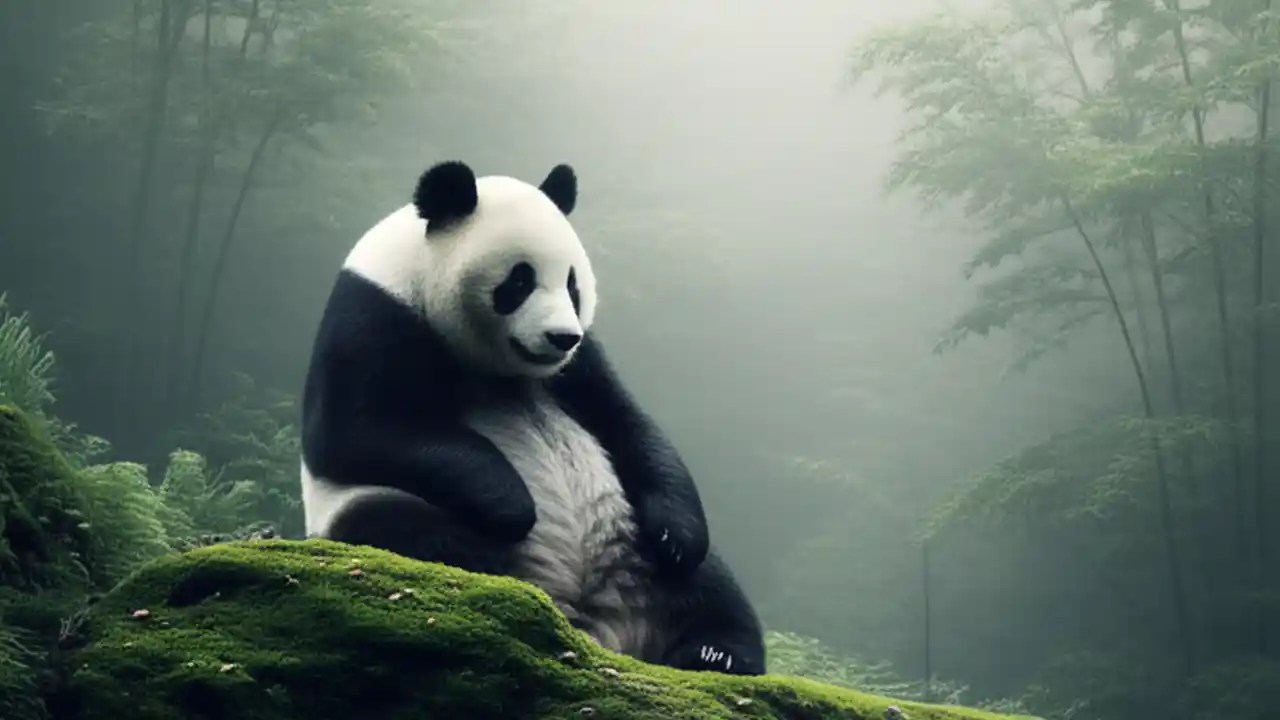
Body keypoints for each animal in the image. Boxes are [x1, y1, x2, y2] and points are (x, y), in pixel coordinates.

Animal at [298, 160, 765, 675]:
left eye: (572, 285)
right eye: (519, 282)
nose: (562, 336)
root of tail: (595, 623)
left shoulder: (579, 365)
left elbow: (627, 424)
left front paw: (675, 534)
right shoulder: (373, 313)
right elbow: (354, 431)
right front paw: (510, 501)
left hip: (630, 541)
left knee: (709, 585)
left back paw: (715, 653)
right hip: (370, 513)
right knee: (409, 535)